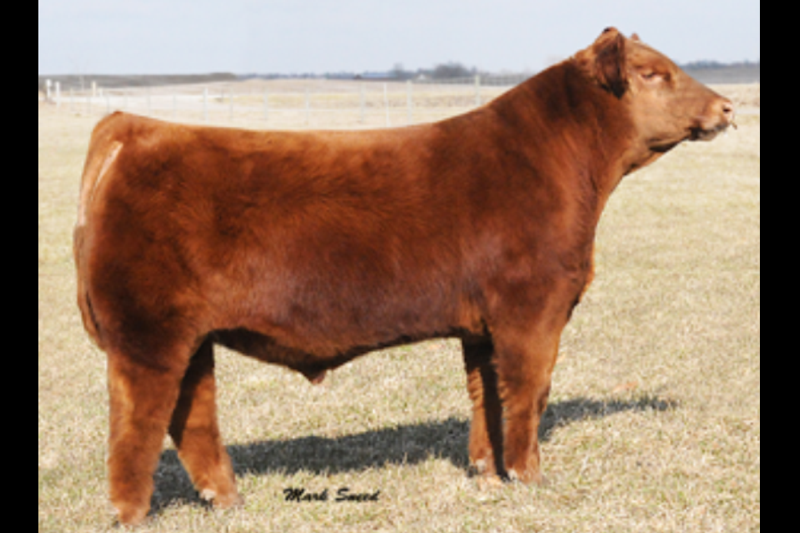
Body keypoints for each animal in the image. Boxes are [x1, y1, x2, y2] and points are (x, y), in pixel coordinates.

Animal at [73, 28, 734, 525]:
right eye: (652, 73)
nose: (727, 107)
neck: (563, 166)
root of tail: (131, 127)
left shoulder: (481, 324)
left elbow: (484, 394)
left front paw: (487, 475)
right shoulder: (532, 308)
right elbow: (529, 391)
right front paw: (528, 477)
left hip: (190, 337)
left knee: (192, 414)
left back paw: (228, 500)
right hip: (146, 332)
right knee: (136, 424)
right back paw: (132, 514)